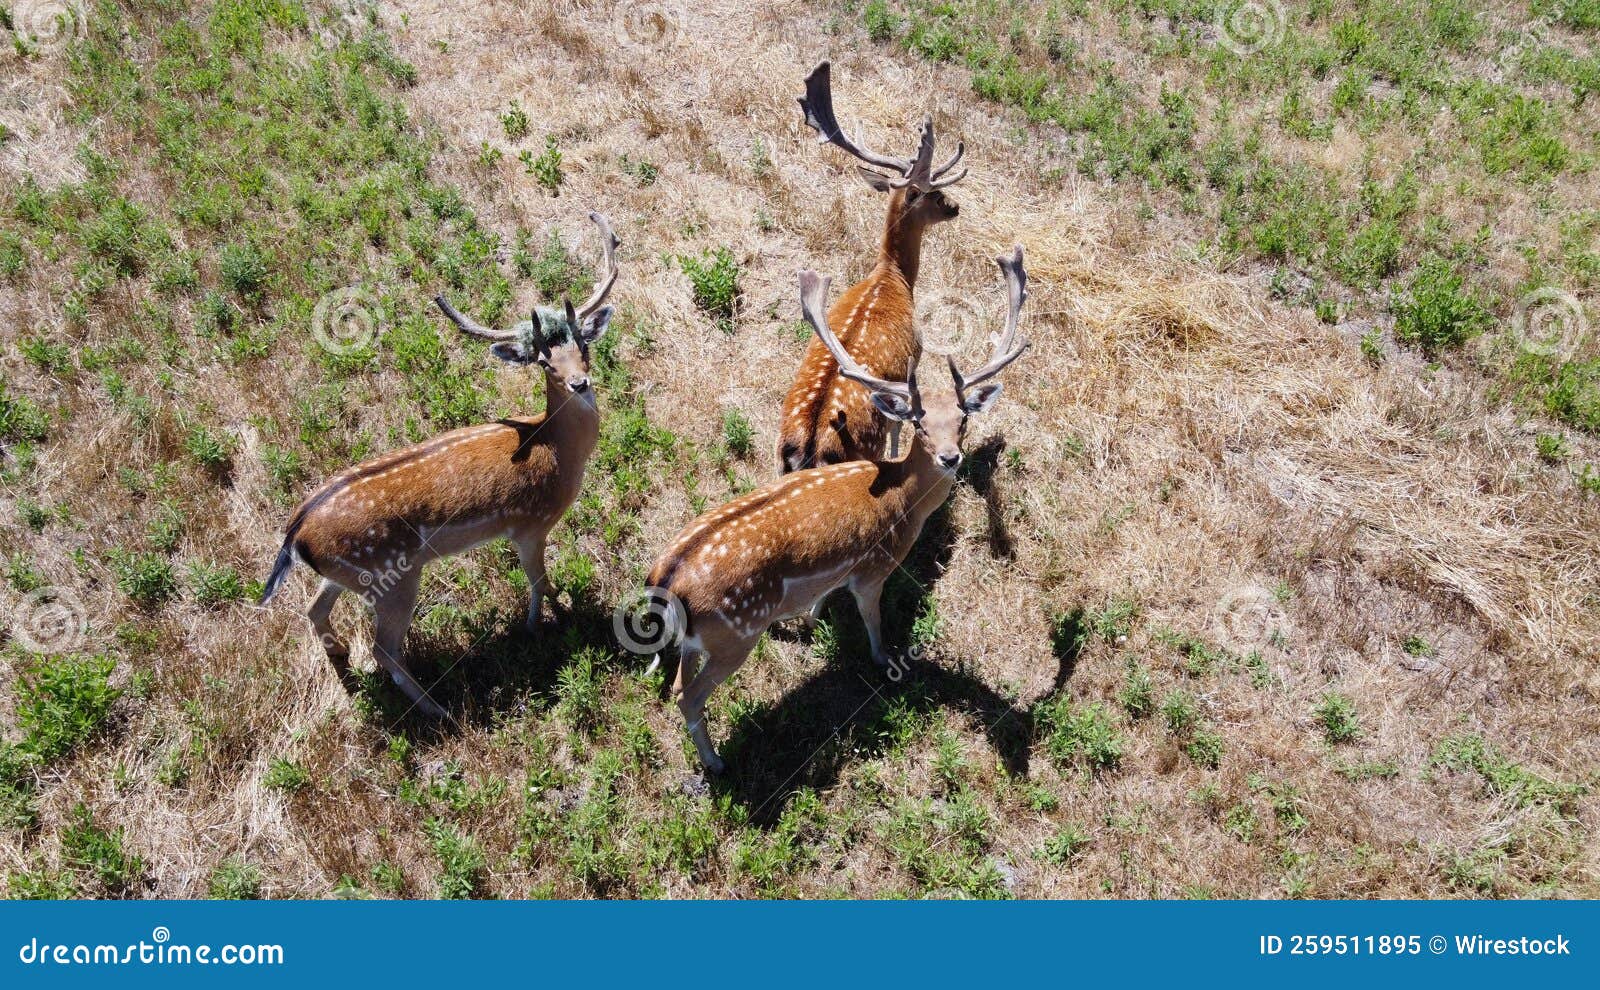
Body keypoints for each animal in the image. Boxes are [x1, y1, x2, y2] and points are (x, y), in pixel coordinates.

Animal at [259, 212, 621, 719]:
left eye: (583, 349)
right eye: (545, 362)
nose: (578, 383)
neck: (555, 449)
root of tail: (296, 534)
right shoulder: (530, 526)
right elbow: (537, 580)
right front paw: (545, 620)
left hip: (350, 575)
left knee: (316, 608)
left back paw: (341, 657)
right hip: (393, 577)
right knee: (384, 647)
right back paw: (438, 709)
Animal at [645, 246, 1029, 773]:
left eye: (963, 420)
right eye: (919, 422)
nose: (951, 457)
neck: (905, 500)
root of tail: (666, 581)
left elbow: (820, 599)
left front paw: (810, 621)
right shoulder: (873, 569)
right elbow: (872, 620)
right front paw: (883, 660)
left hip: (695, 638)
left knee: (679, 683)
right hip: (735, 632)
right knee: (688, 695)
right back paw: (717, 765)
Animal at [777, 60, 969, 474]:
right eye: (933, 193)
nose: (954, 206)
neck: (893, 277)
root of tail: (808, 448)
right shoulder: (914, 358)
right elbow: (902, 422)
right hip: (863, 445)